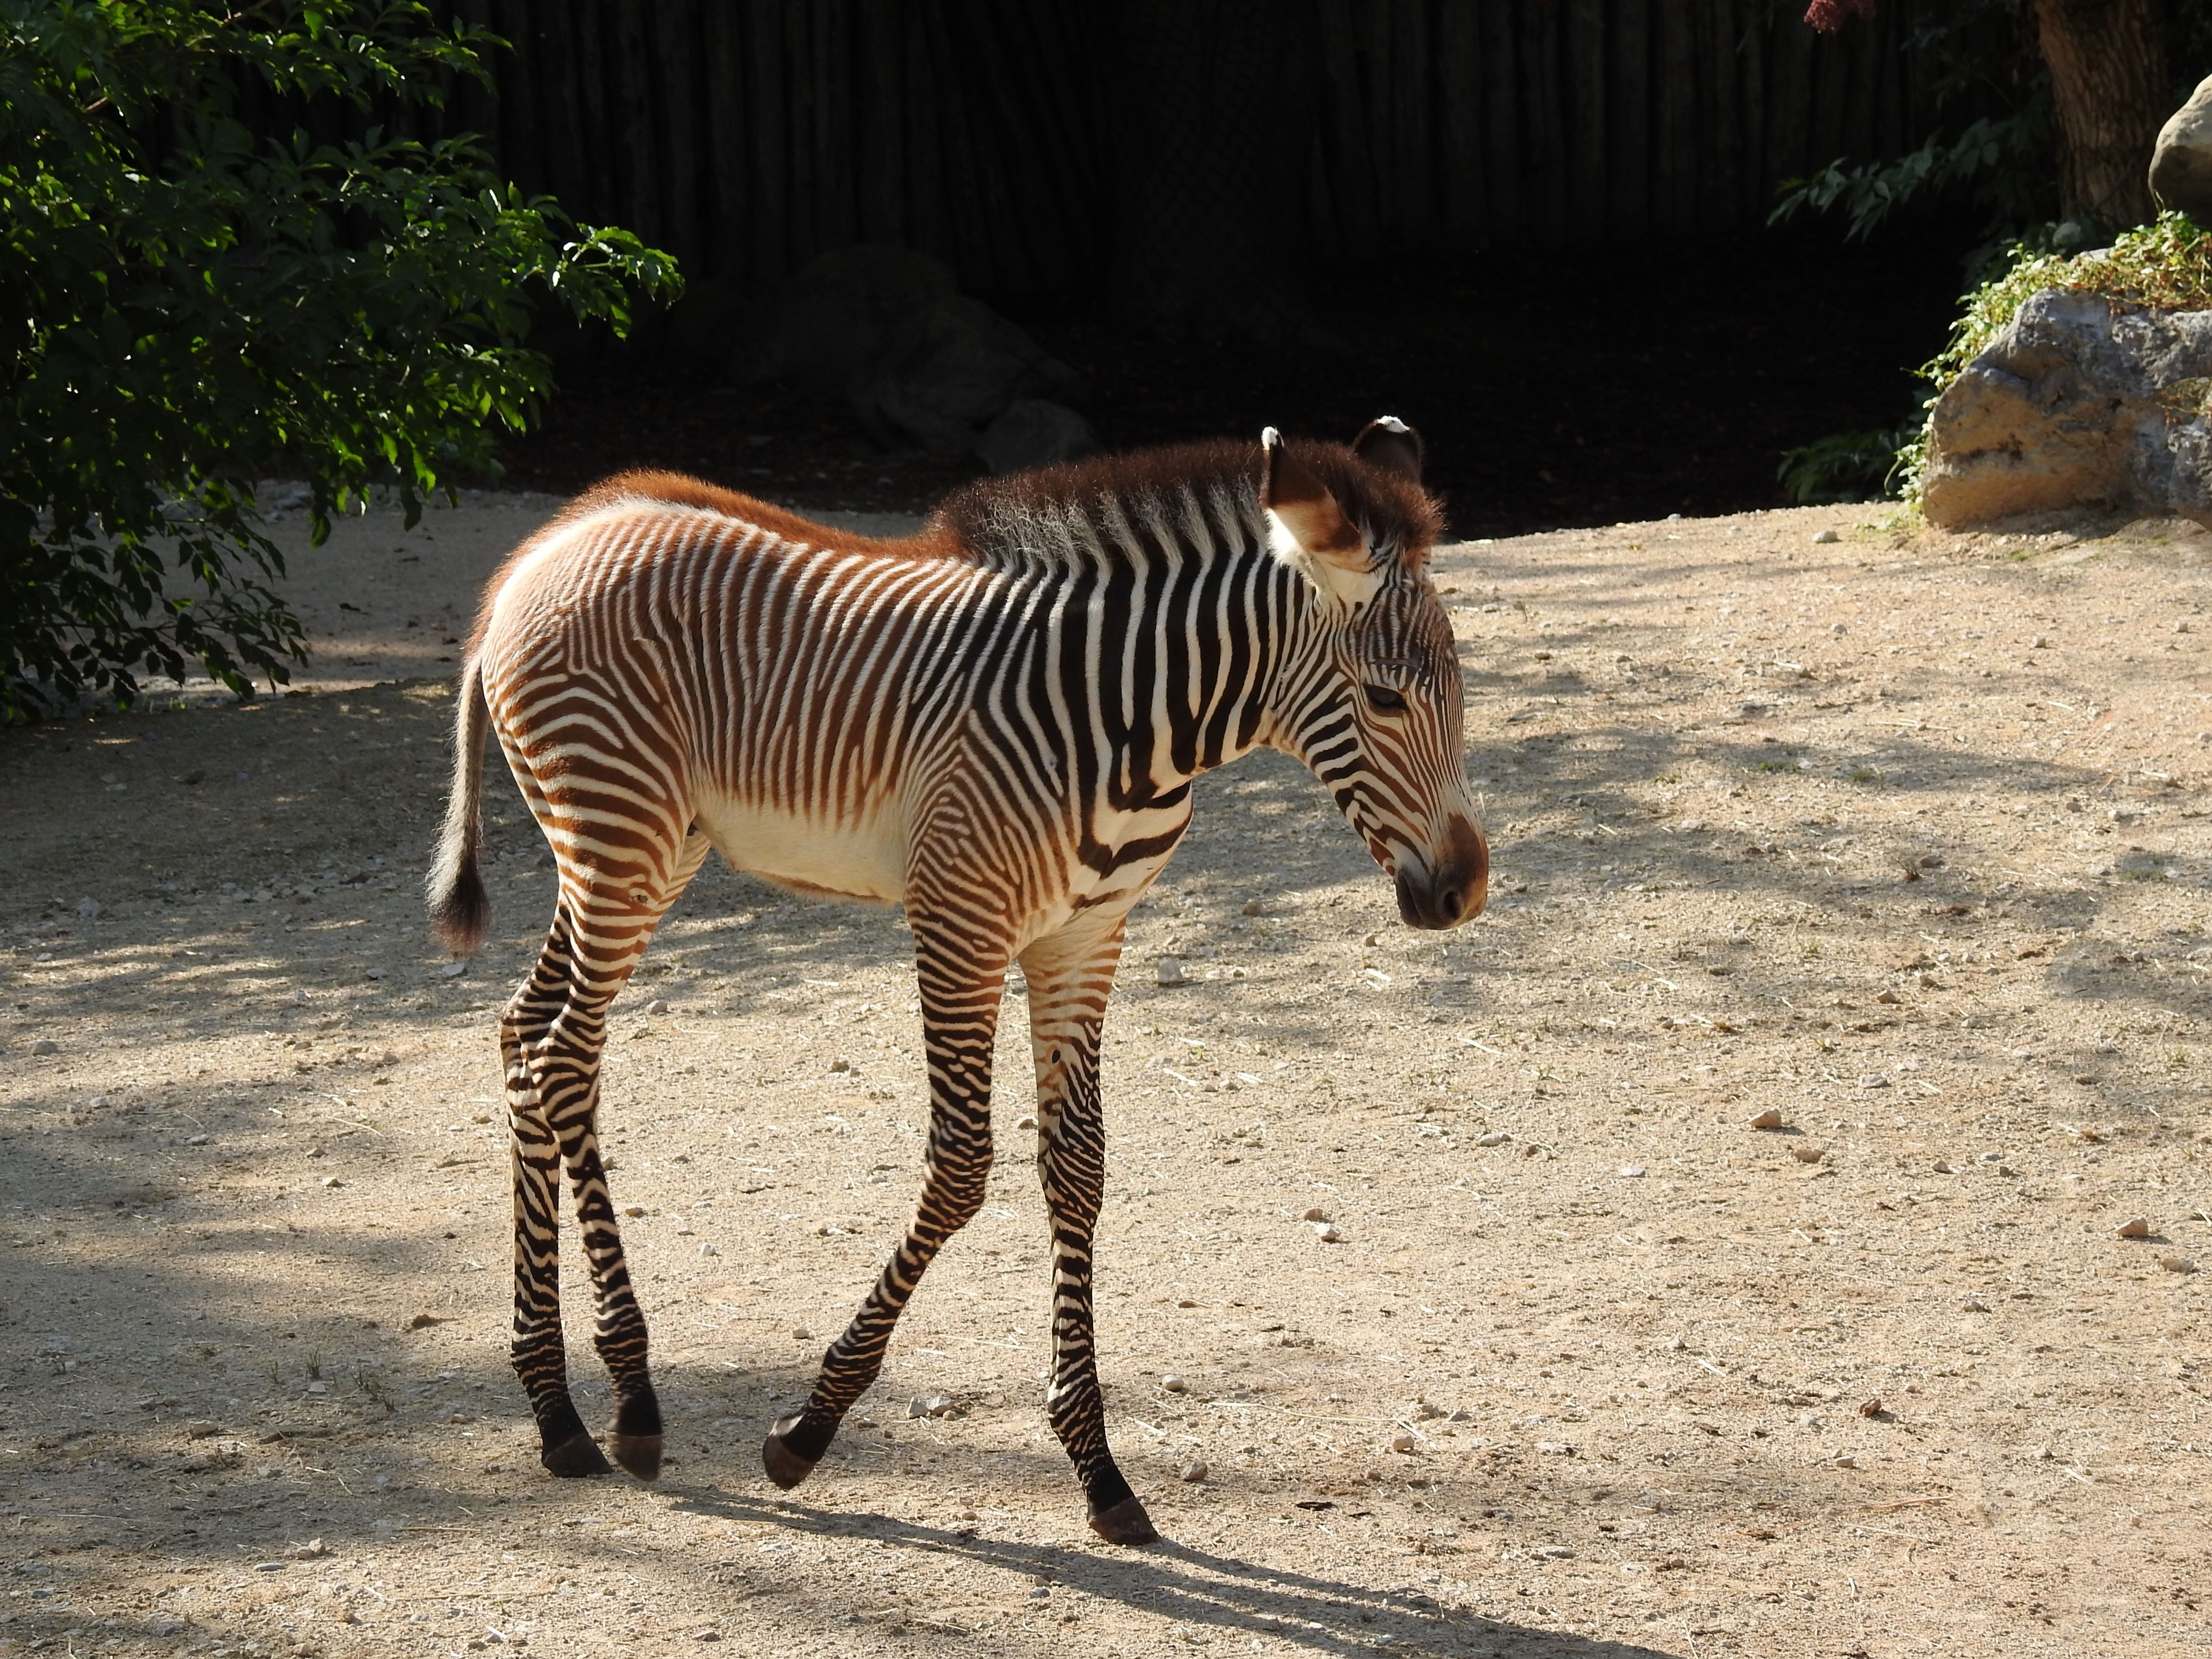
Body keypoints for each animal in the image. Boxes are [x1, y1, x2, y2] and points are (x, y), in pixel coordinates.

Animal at [426, 418, 1487, 1545]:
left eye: (1460, 691)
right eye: (1384, 698)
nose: (1463, 892)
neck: (1125, 718)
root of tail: (544, 551)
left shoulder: (1085, 936)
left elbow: (1078, 1166)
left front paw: (1099, 1471)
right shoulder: (959, 923)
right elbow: (962, 1168)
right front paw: (808, 1428)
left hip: (651, 851)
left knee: (527, 1039)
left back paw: (555, 1411)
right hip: (618, 834)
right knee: (558, 1056)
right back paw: (626, 1403)